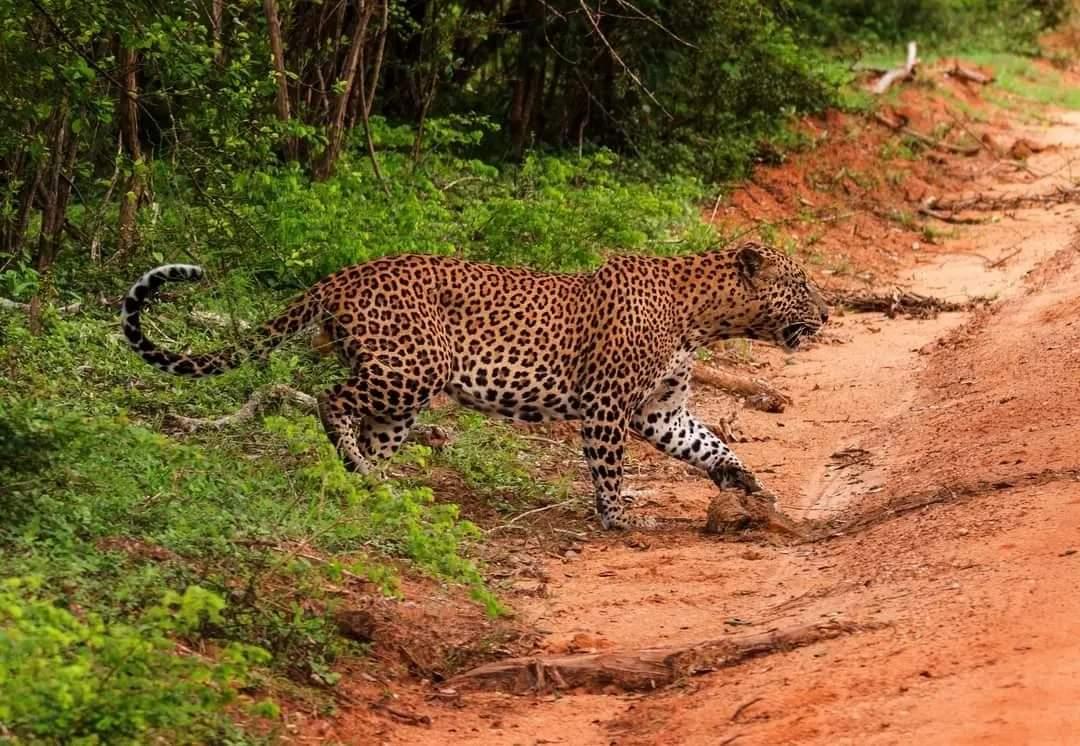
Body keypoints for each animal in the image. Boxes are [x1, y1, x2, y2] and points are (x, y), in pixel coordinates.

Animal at [122, 241, 825, 529]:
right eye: (801, 285)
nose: (827, 314)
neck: (701, 317)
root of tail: (342, 276)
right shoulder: (606, 407)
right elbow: (609, 470)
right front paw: (621, 519)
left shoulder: (660, 411)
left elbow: (709, 445)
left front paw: (746, 486)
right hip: (410, 368)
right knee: (329, 399)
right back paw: (356, 467)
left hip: (402, 398)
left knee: (367, 433)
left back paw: (370, 484)